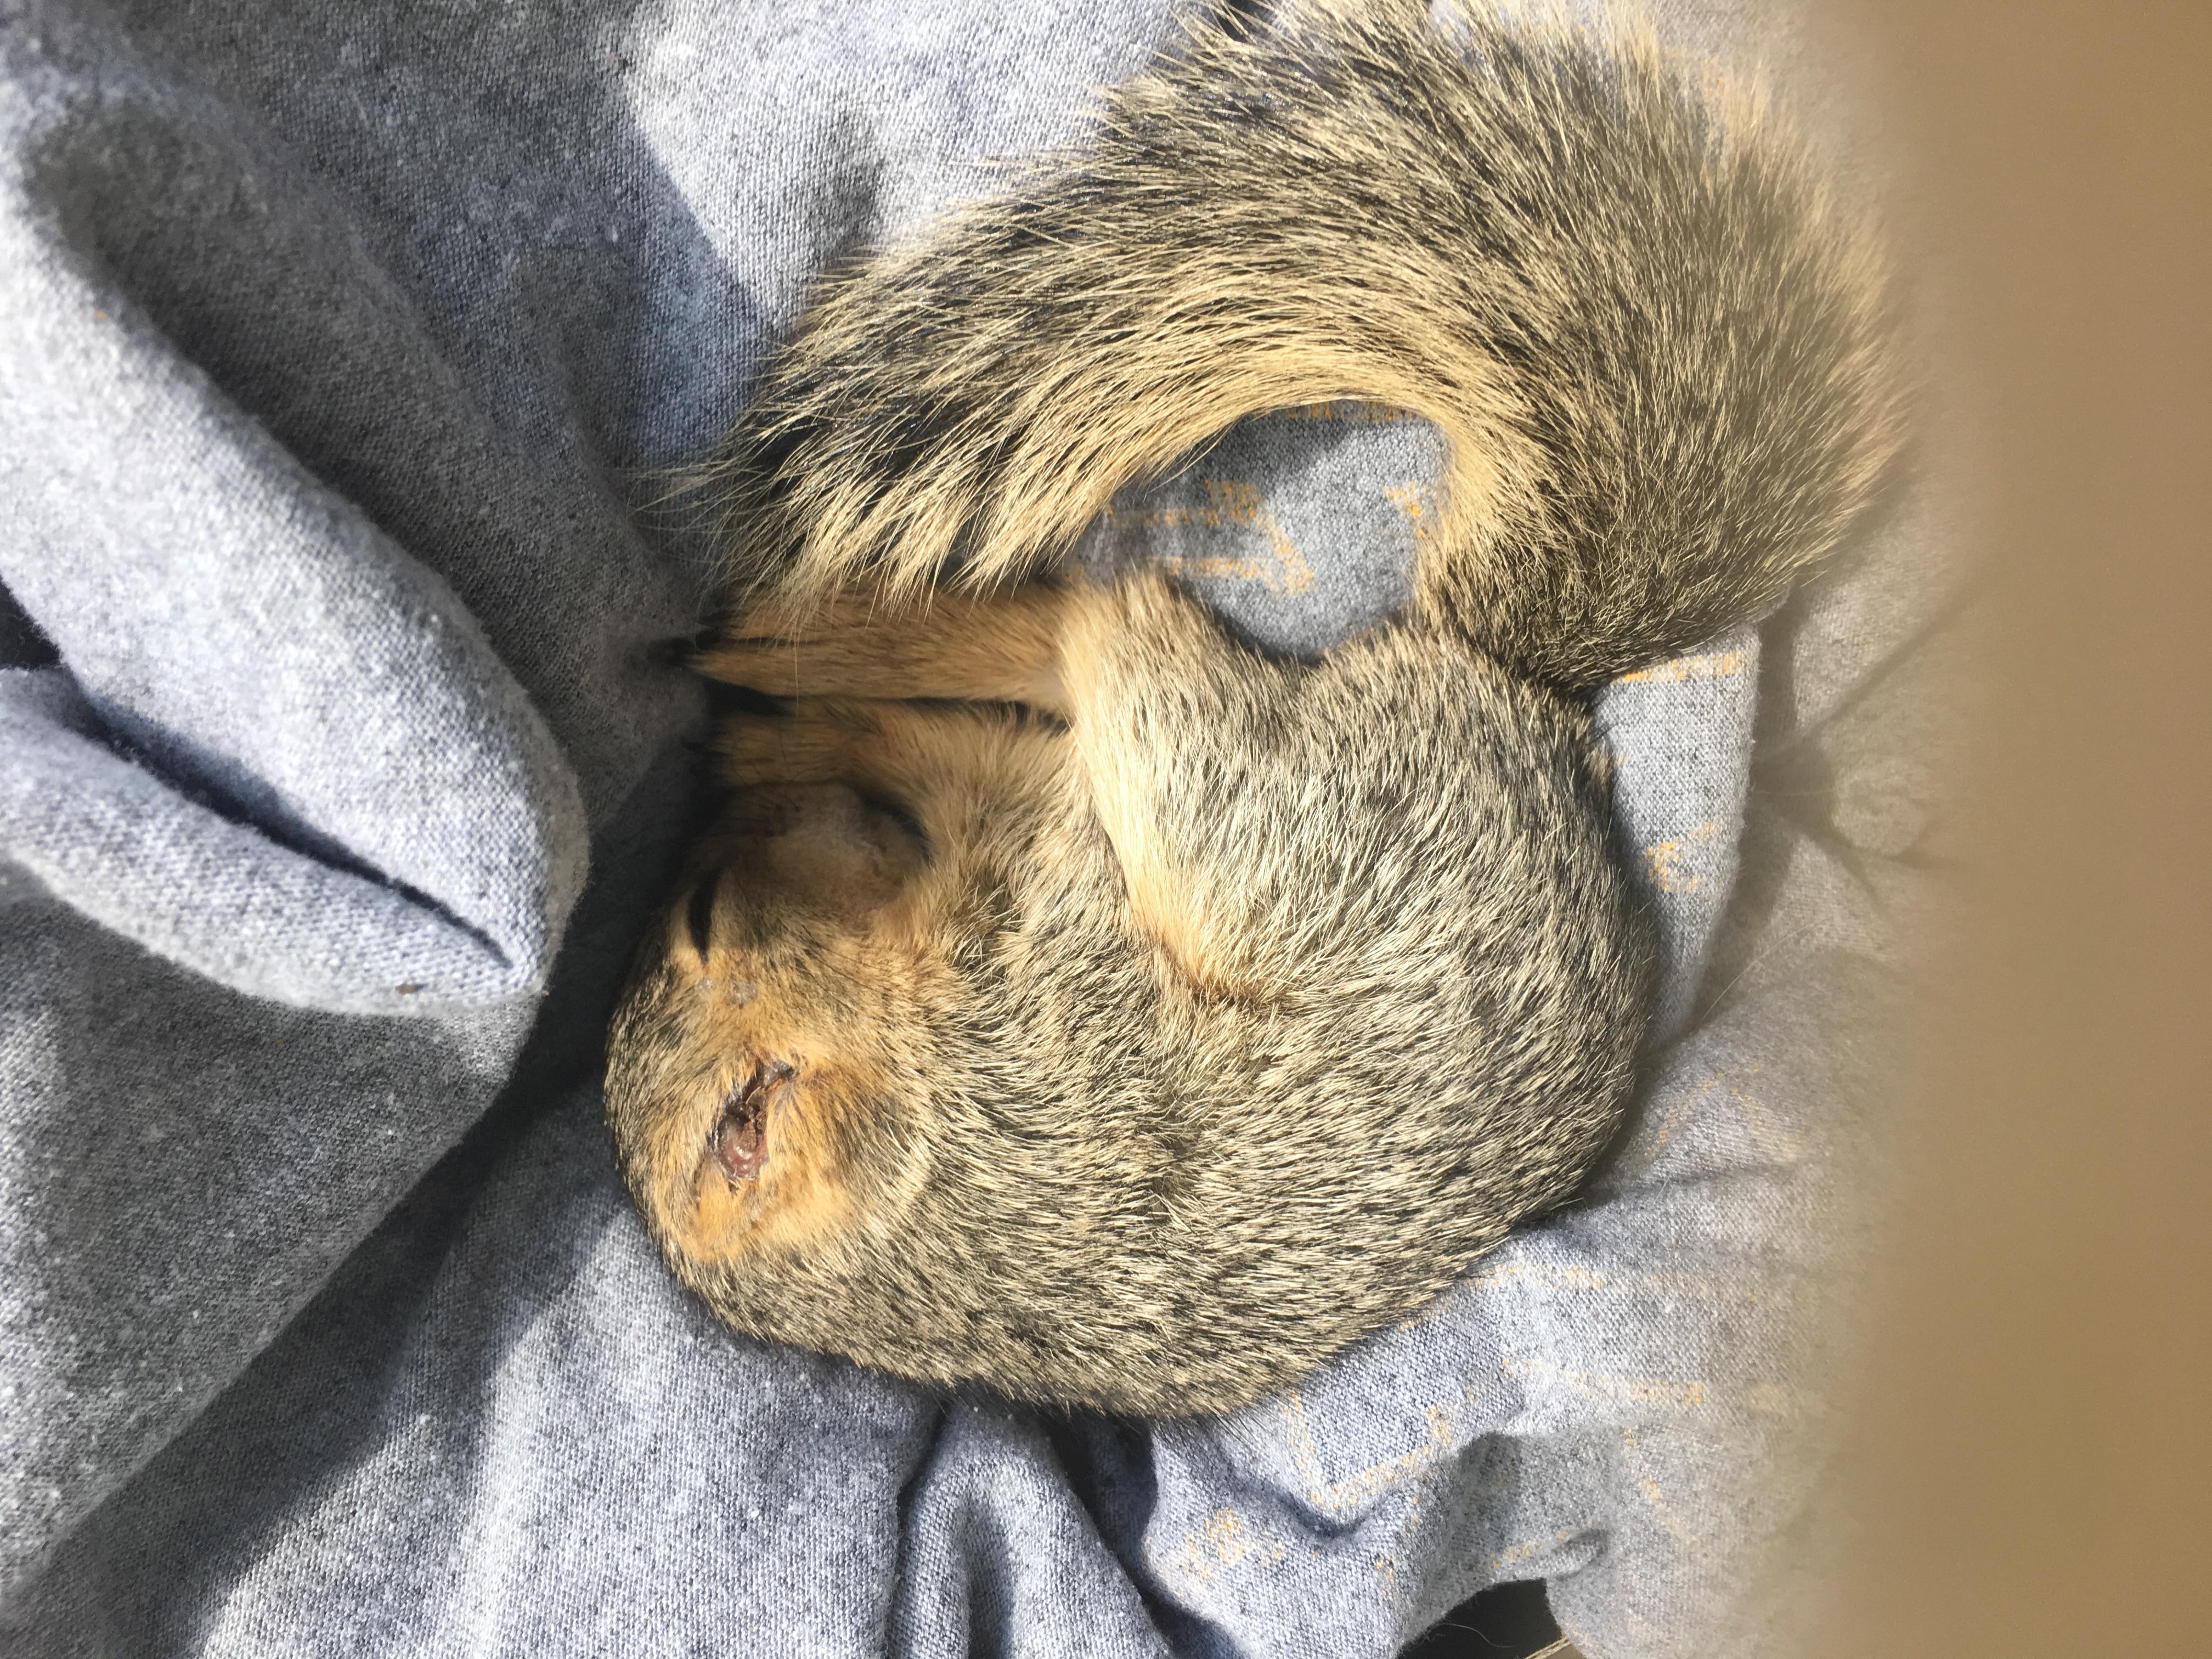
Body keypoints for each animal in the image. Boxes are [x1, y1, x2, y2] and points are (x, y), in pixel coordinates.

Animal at [602, 0, 1900, 1418]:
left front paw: (800, 738)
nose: (716, 837)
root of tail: (1506, 693)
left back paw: (807, 652)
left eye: (694, 917)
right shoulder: (1026, 952)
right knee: (1107, 622)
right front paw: (817, 735)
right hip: (1238, 808)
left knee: (1095, 624)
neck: (921, 1134)